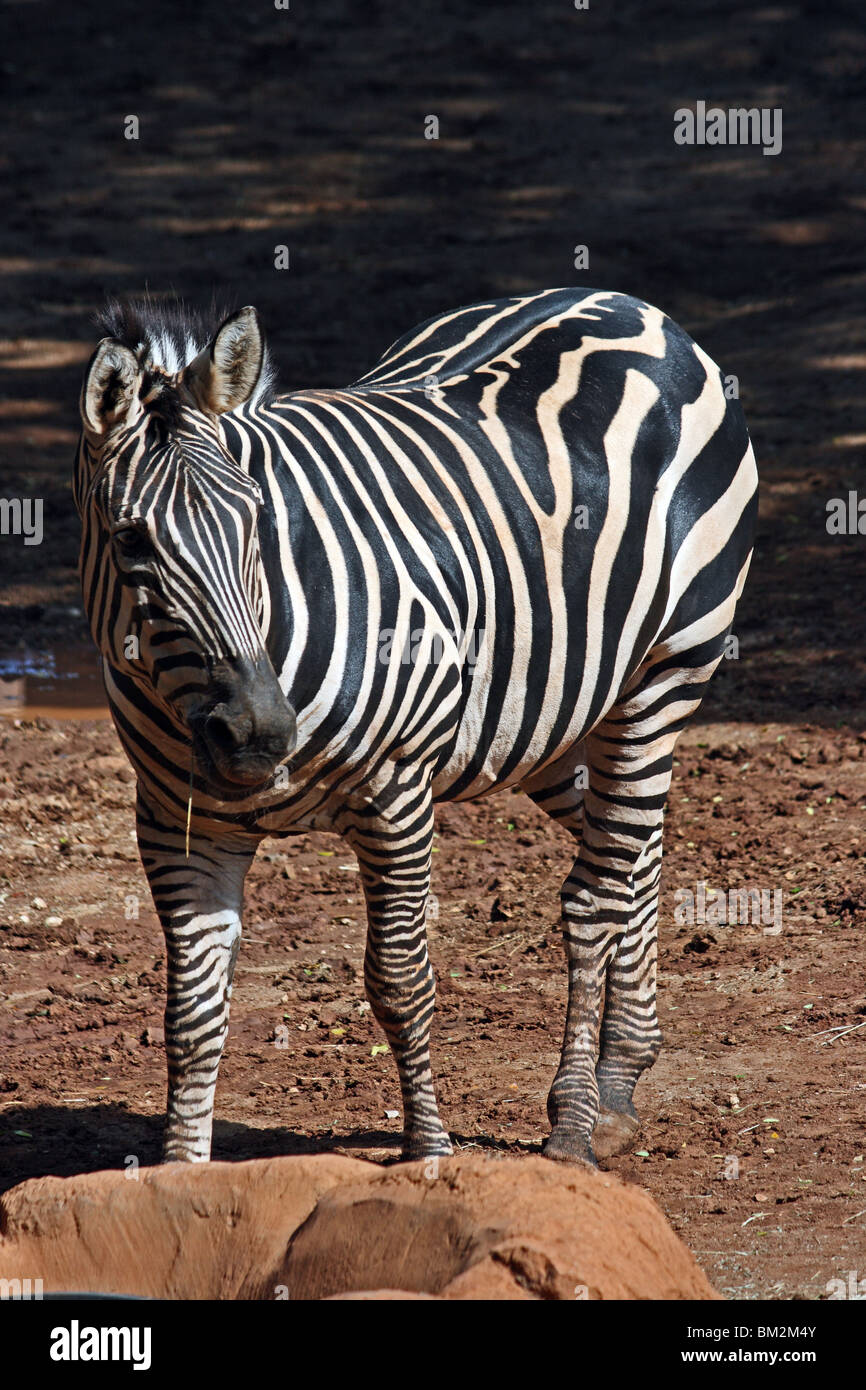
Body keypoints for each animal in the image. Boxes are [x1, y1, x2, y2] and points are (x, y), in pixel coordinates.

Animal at [75, 288, 757, 1167]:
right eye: (131, 539)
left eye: (257, 517)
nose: (258, 735)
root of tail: (627, 303)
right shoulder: (176, 820)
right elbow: (192, 1014)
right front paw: (181, 1175)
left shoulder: (395, 794)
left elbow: (400, 983)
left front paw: (430, 1154)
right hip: (548, 719)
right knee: (634, 847)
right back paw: (621, 1076)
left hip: (666, 674)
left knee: (594, 894)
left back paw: (577, 1115)